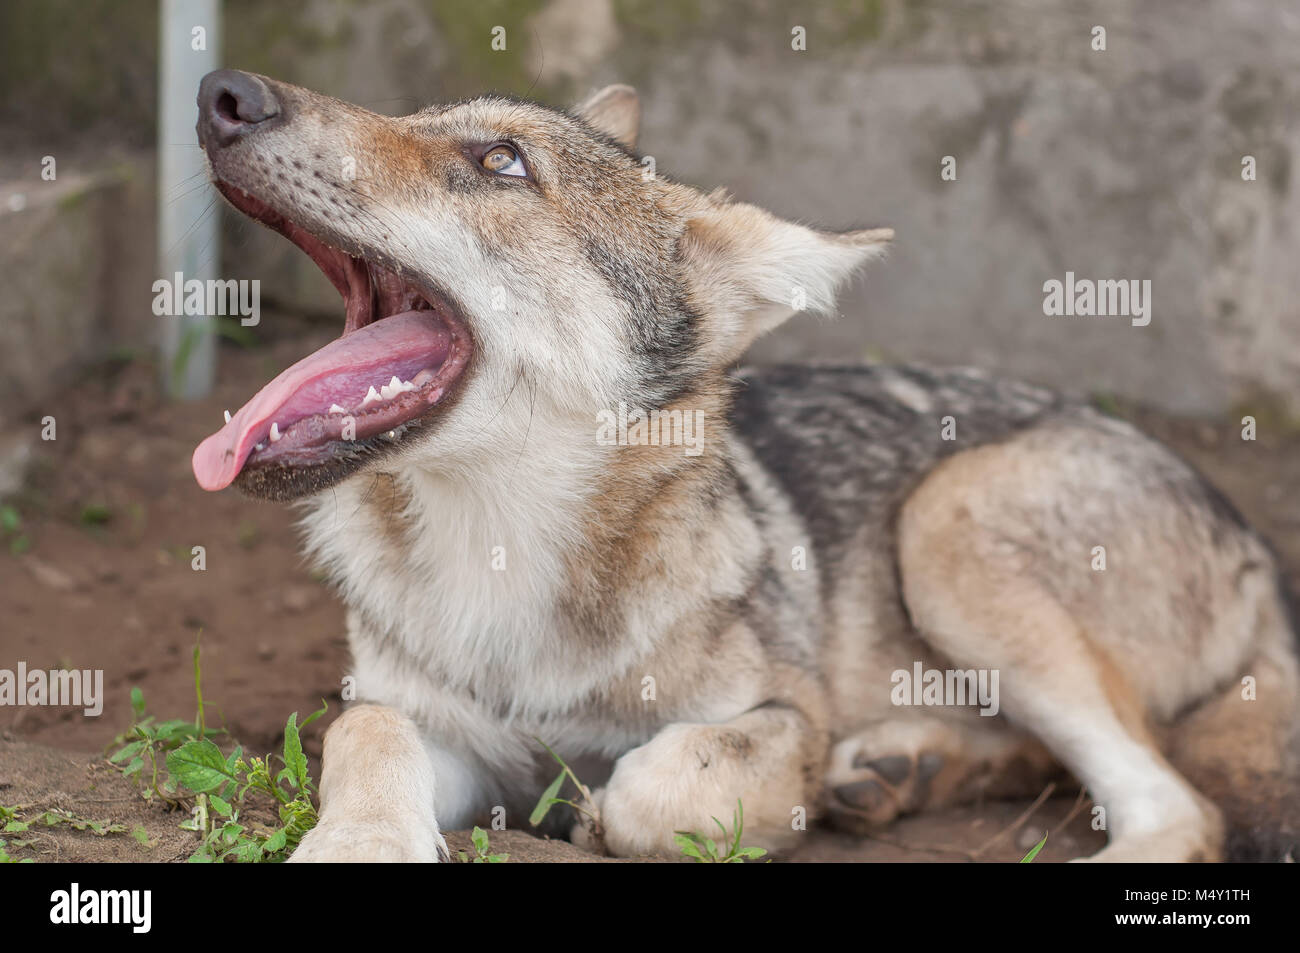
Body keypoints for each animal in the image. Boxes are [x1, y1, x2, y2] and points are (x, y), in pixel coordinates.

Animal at [191, 69, 1299, 862]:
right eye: (410, 115)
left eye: (501, 160)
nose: (222, 93)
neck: (503, 562)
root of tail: (1257, 544)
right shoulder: (422, 721)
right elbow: (366, 736)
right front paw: (356, 844)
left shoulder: (775, 714)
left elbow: (652, 783)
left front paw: (603, 810)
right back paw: (896, 769)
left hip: (946, 523)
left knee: (1175, 806)